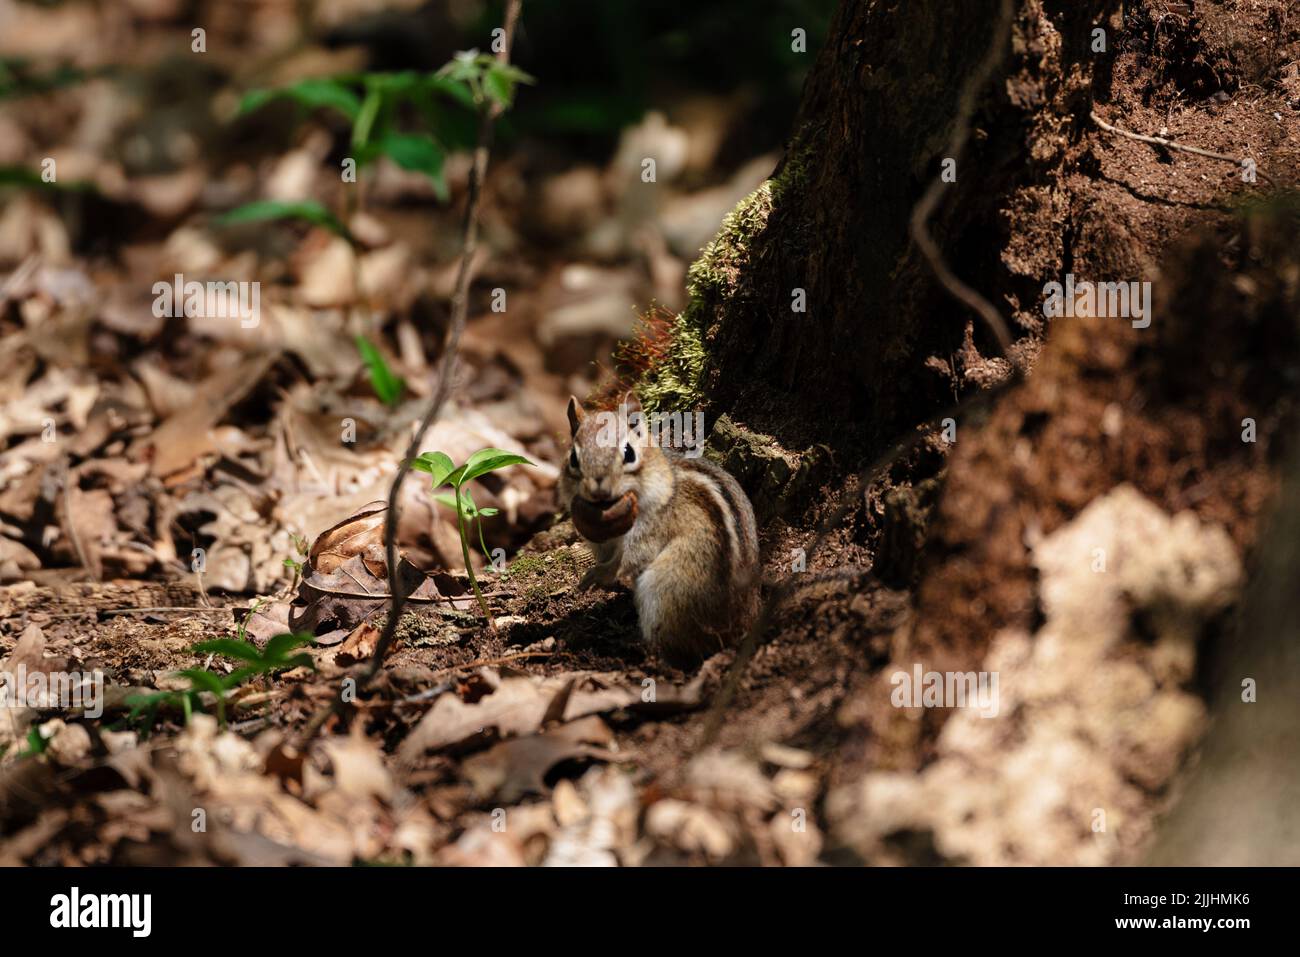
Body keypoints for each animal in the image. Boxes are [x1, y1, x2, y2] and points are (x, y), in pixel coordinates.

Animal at [558, 392, 760, 663]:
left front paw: (600, 575)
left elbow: (631, 557)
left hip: (667, 590)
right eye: (573, 458)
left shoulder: (653, 526)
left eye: (629, 453)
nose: (599, 489)